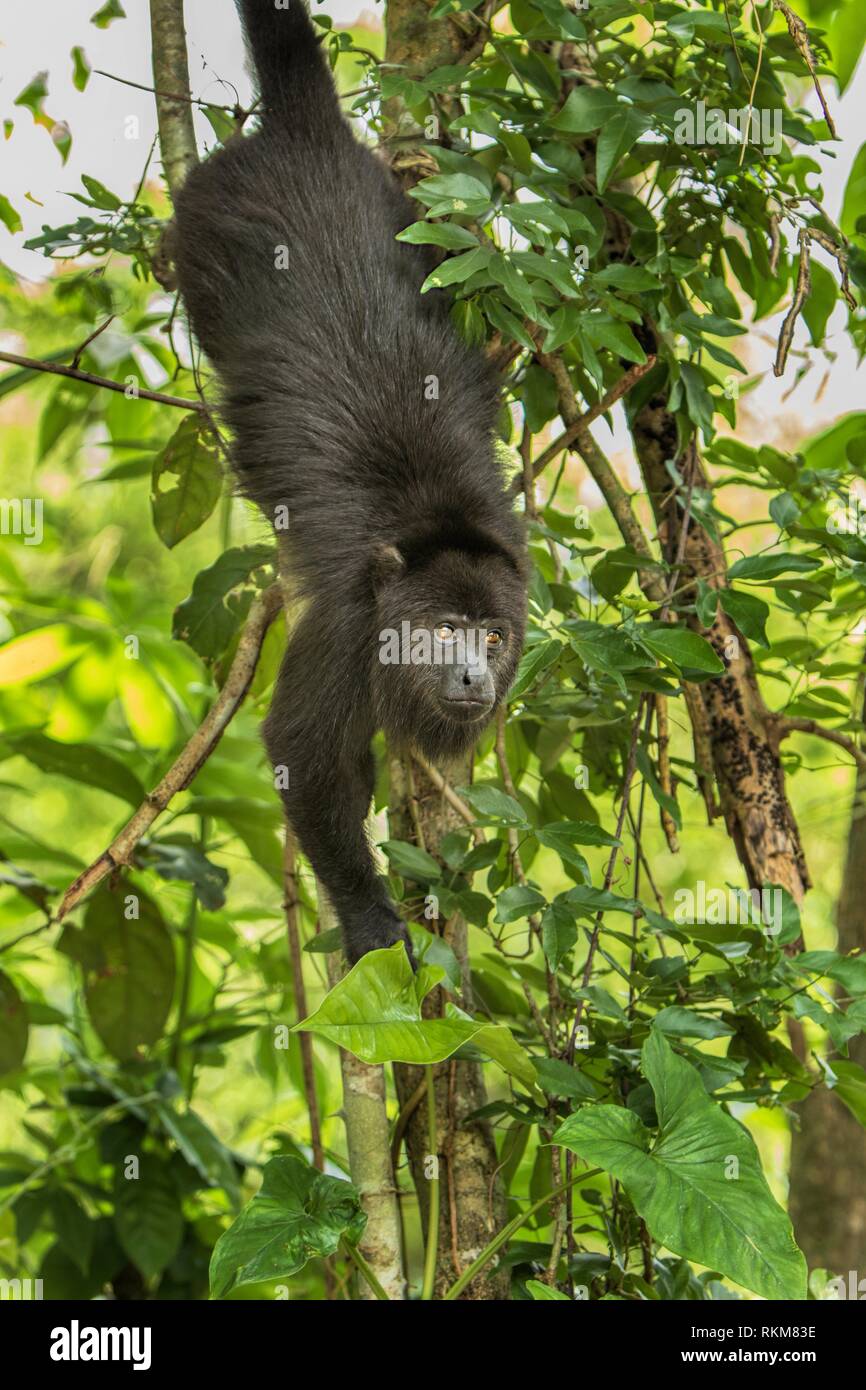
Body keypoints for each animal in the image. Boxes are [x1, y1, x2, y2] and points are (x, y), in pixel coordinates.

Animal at [173, 0, 527, 965]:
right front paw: (371, 922)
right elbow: (303, 751)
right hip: (203, 217)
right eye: (443, 633)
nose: (476, 678)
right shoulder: (347, 620)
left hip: (401, 208)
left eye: (492, 637)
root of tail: (308, 135)